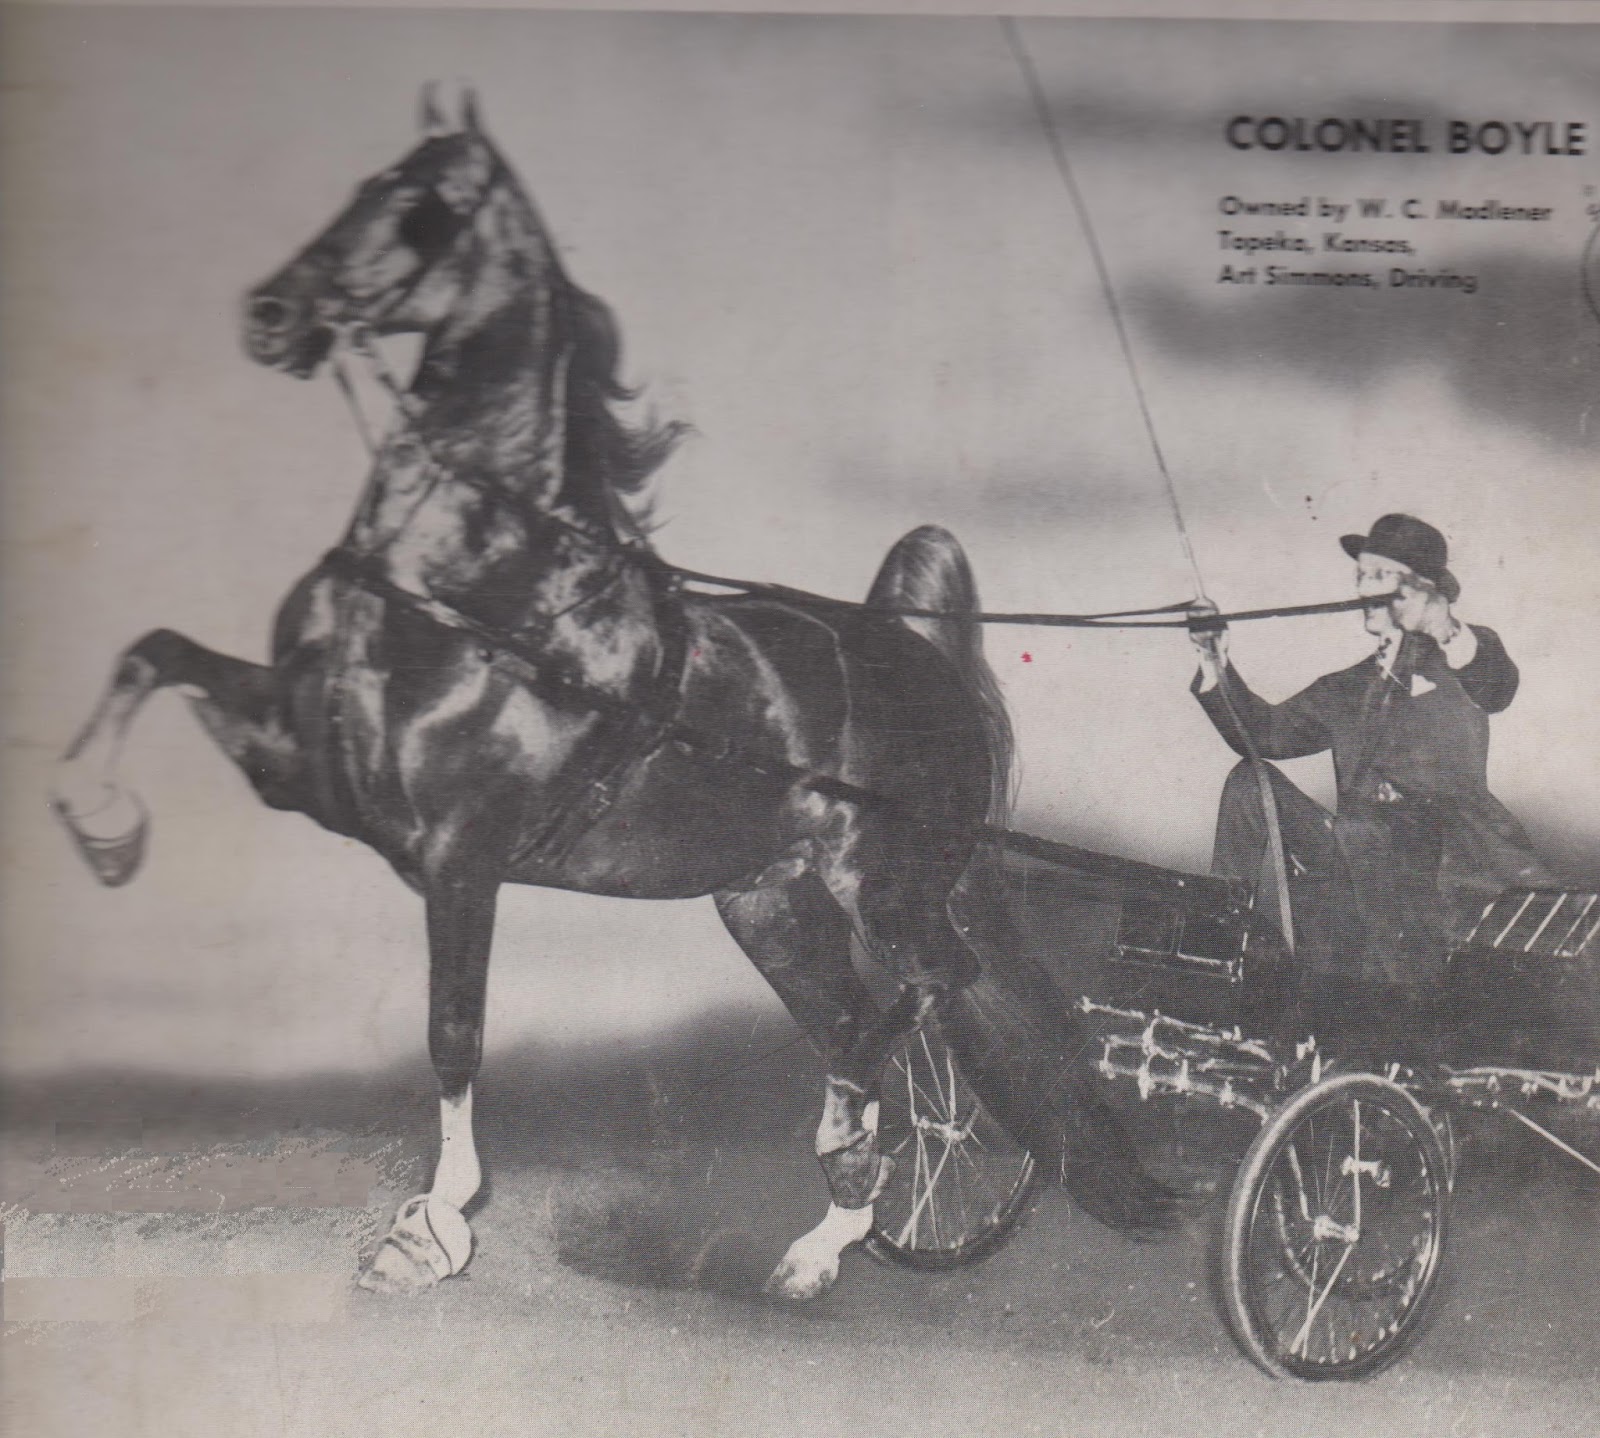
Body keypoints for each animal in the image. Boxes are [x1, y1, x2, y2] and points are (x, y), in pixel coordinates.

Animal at [53, 88, 1173, 1299]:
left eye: (425, 207)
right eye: (364, 187)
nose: (270, 314)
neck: (473, 584)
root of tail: (914, 657)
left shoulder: (463, 852)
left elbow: (454, 1033)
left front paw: (433, 1226)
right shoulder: (311, 771)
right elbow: (154, 651)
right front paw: (97, 825)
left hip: (885, 888)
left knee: (923, 996)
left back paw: (847, 1149)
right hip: (770, 905)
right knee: (857, 1025)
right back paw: (823, 1239)